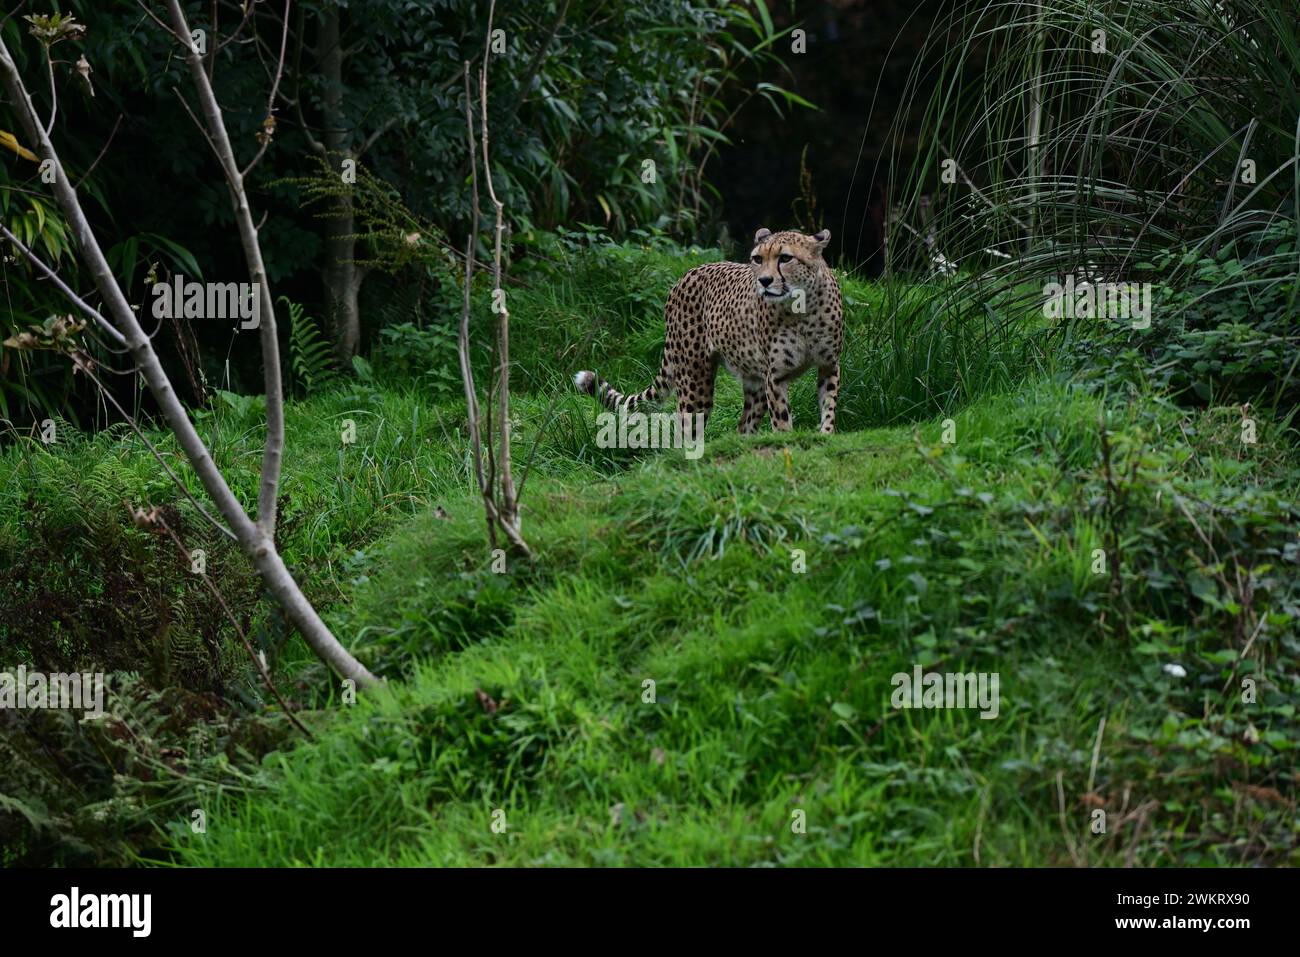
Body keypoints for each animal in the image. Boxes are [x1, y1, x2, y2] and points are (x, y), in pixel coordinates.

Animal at [574, 227, 844, 435]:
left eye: (785, 258)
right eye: (758, 259)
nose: (764, 281)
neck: (801, 309)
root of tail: (686, 273)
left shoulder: (828, 364)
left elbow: (829, 405)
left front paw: (826, 433)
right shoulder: (775, 376)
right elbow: (781, 419)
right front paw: (786, 443)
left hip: (753, 379)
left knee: (744, 426)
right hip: (695, 381)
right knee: (686, 428)